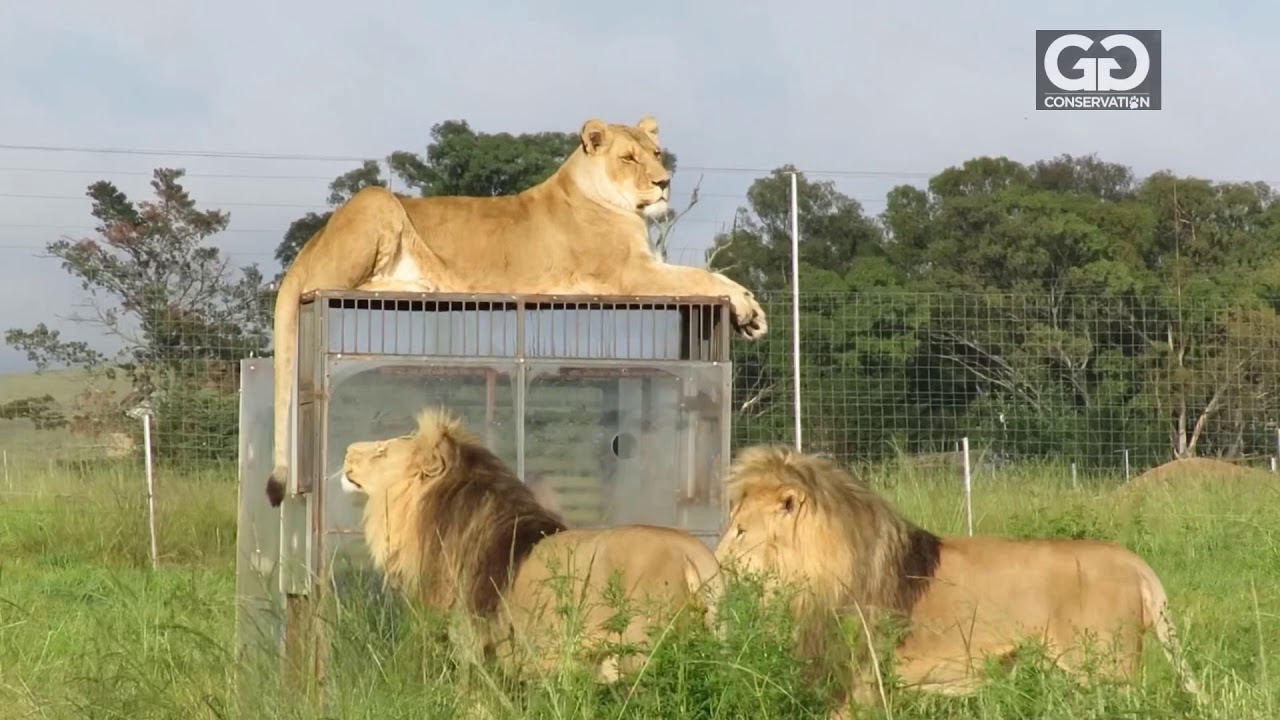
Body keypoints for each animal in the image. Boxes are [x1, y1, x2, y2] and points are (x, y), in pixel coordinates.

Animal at [265, 116, 767, 507]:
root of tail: (307, 248)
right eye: (629, 158)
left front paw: (751, 314)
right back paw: (422, 282)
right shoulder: (630, 273)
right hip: (375, 202)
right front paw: (747, 309)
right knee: (342, 284)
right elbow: (702, 277)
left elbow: (703, 275)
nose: (664, 183)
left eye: (657, 153)